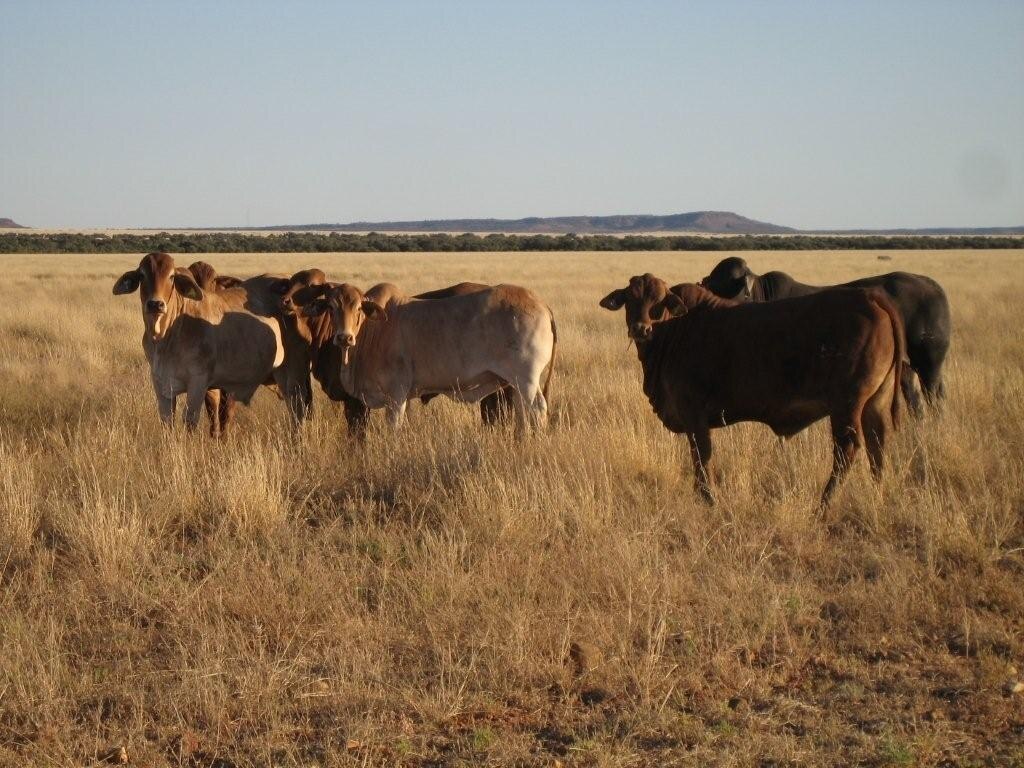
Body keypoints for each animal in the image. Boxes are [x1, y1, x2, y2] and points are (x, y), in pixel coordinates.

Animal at [113, 252, 289, 432]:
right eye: (142, 275)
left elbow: (191, 420)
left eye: (172, 276)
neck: (164, 338)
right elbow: (168, 422)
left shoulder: (199, 382)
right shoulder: (160, 383)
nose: (155, 304)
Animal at [288, 281, 556, 434]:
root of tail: (542, 304)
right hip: (516, 383)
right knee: (523, 412)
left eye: (357, 308)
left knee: (537, 409)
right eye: (332, 307)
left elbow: (393, 429)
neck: (372, 330)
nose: (344, 338)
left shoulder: (396, 395)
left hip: (526, 379)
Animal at [600, 274, 904, 507]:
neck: (676, 328)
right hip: (875, 403)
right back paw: (876, 494)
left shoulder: (694, 415)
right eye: (630, 299)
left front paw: (709, 500)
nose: (640, 328)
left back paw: (824, 504)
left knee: (847, 449)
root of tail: (870, 297)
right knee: (877, 444)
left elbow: (702, 458)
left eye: (658, 301)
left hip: (846, 406)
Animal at [700, 257, 950, 414]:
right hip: (908, 368)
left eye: (720, 281)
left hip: (930, 364)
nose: (701, 283)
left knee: (935, 399)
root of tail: (932, 285)